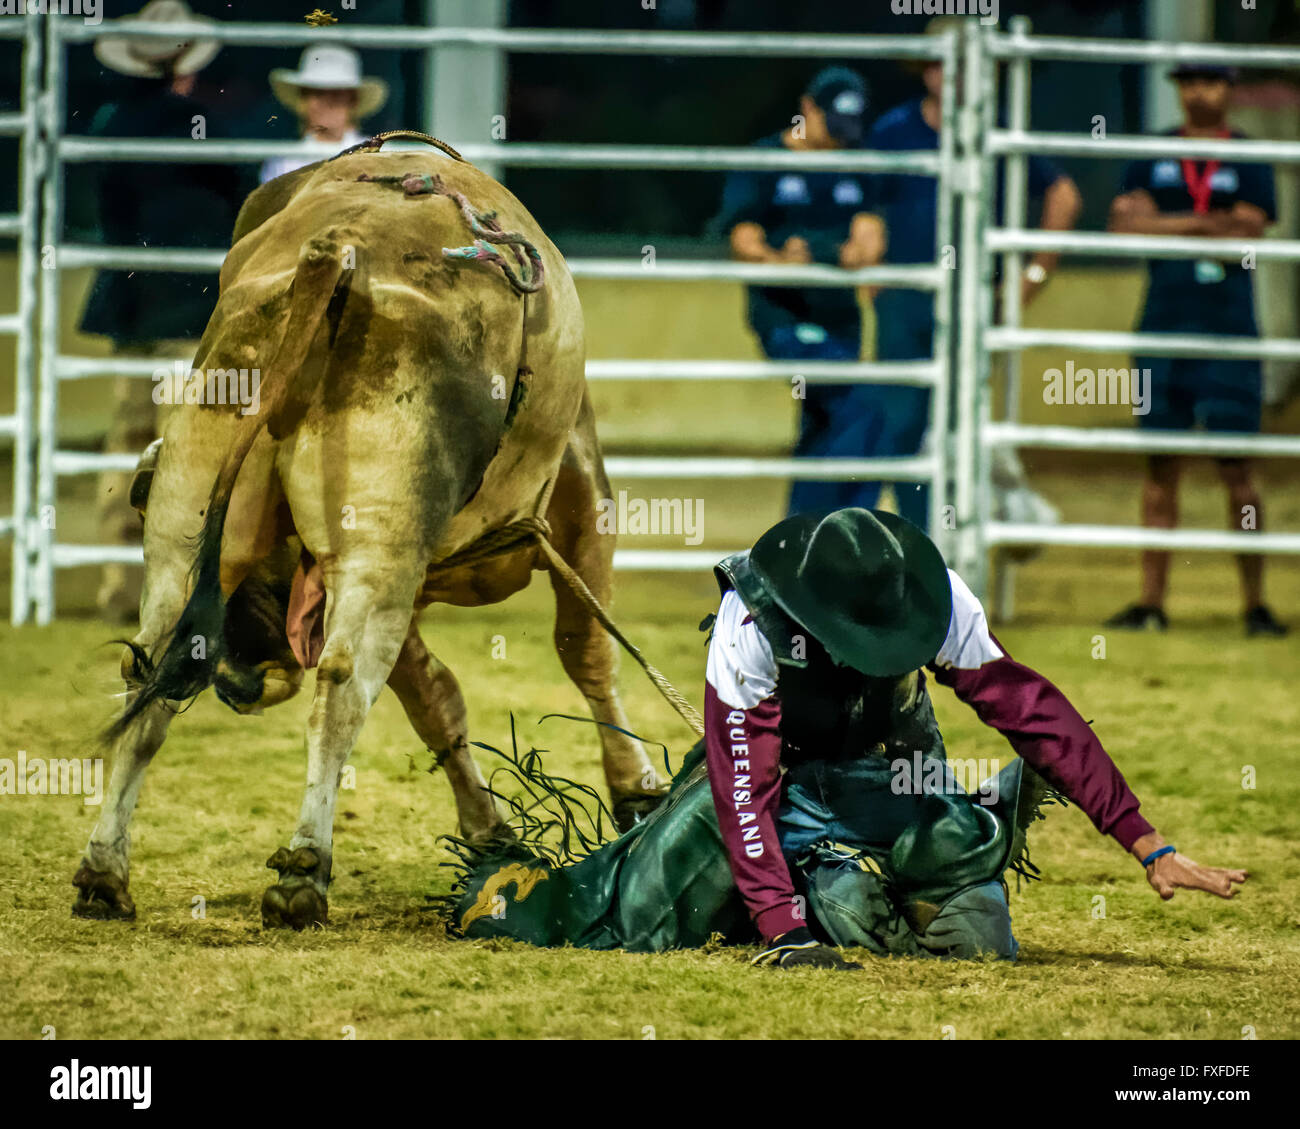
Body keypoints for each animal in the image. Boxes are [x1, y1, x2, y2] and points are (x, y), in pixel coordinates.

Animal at [71, 138, 670, 929]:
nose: (237, 688)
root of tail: (333, 259)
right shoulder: (576, 487)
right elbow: (586, 650)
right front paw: (636, 789)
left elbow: (434, 697)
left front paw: (490, 832)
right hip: (384, 540)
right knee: (341, 682)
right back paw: (303, 870)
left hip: (201, 521)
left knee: (152, 673)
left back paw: (104, 871)